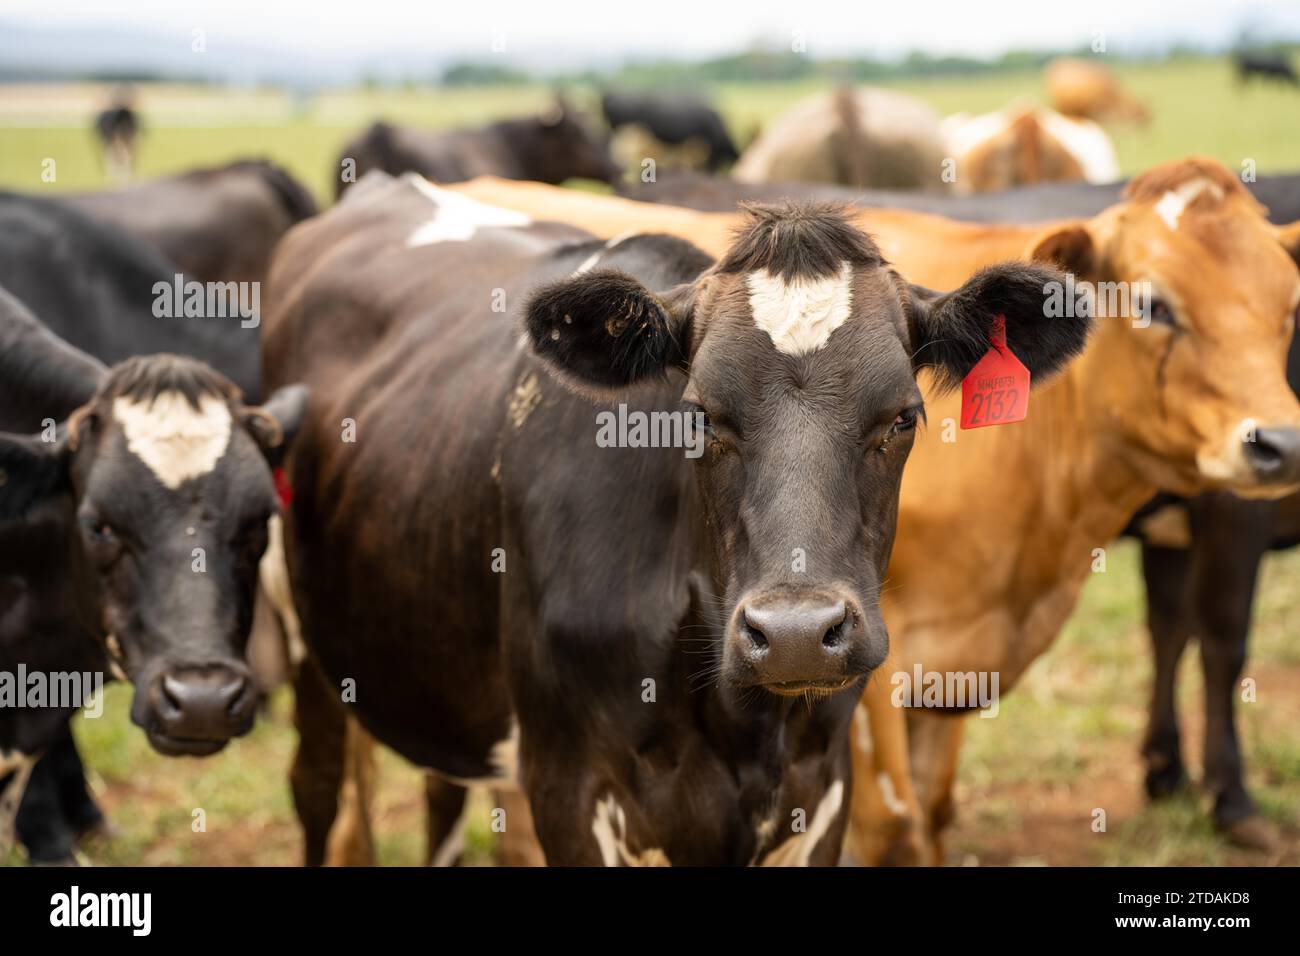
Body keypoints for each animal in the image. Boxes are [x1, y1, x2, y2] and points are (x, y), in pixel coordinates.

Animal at [262, 172, 1087, 865]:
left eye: (904, 417)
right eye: (701, 416)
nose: (795, 635)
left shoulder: (822, 787)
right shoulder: (569, 788)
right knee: (316, 786)